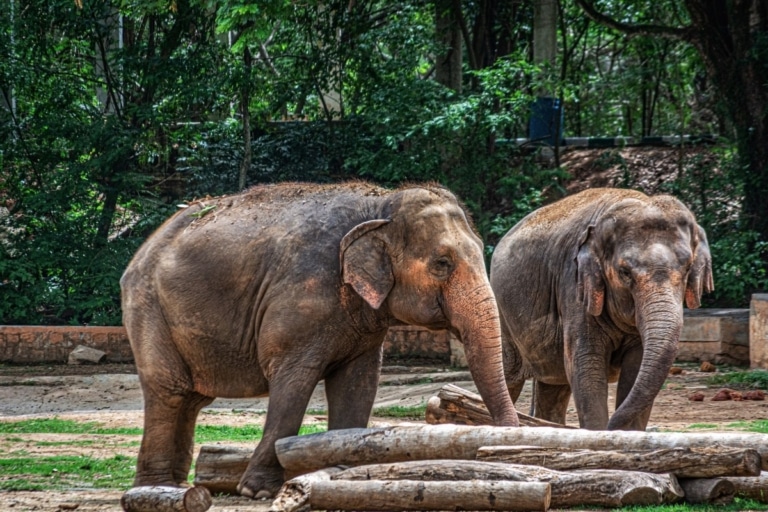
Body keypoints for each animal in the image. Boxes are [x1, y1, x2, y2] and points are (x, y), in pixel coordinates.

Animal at [121, 181, 519, 498]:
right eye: (441, 264)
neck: (381, 204)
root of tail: (144, 247)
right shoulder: (302, 299)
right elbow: (293, 383)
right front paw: (256, 491)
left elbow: (358, 384)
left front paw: (340, 471)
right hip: (148, 308)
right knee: (169, 391)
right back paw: (158, 487)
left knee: (190, 399)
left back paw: (171, 485)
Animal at [490, 188, 713, 431]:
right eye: (625, 272)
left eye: (688, 268)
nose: (611, 426)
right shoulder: (574, 286)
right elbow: (586, 364)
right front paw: (599, 431)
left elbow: (636, 366)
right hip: (503, 316)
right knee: (510, 376)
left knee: (554, 385)